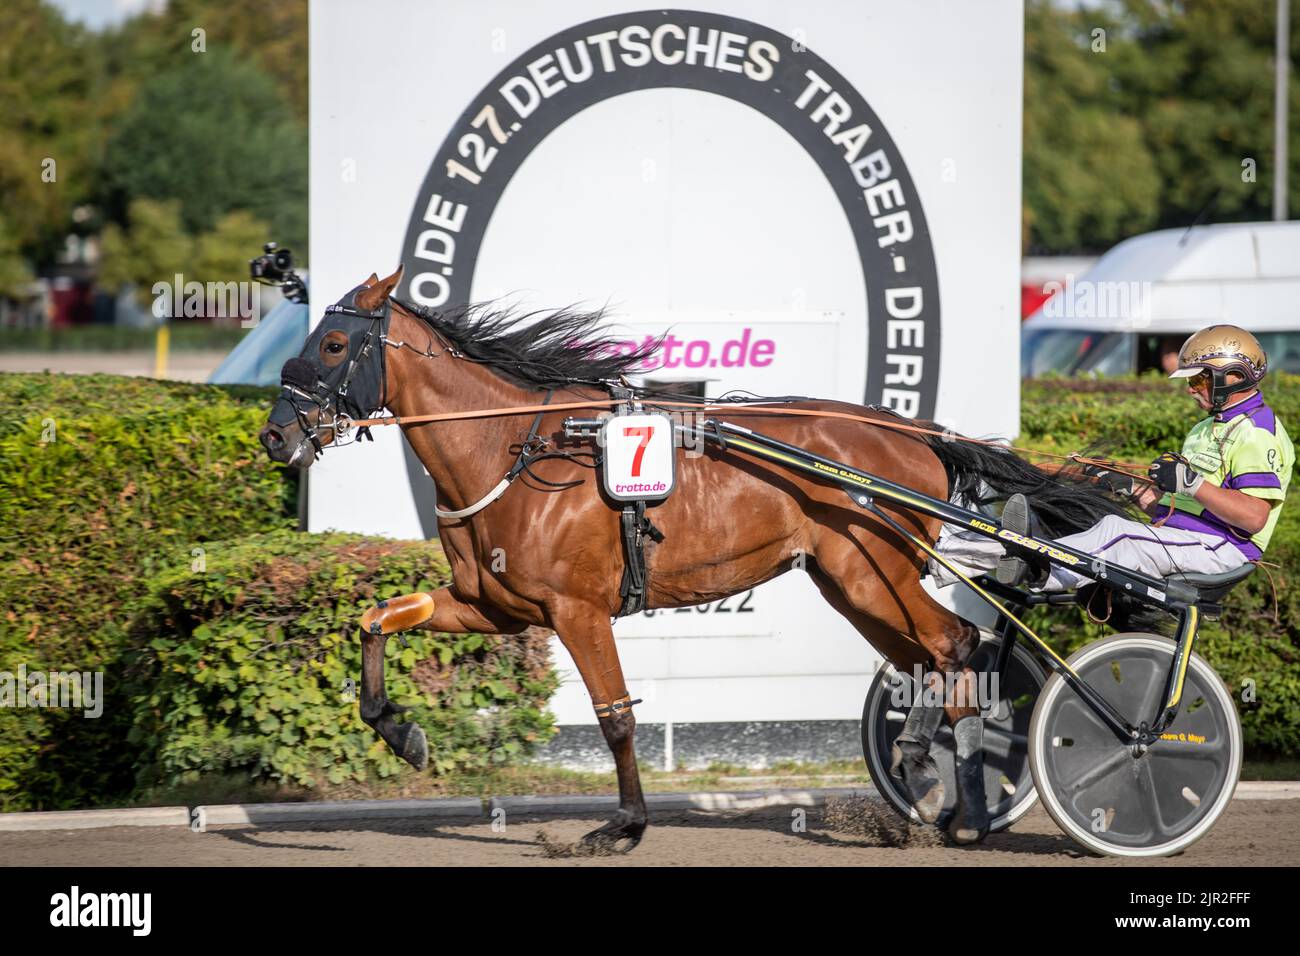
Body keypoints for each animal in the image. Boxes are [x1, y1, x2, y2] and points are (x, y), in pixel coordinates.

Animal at [259, 267, 1123, 849]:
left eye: (332, 342)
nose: (274, 434)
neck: (512, 450)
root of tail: (918, 433)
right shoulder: (491, 605)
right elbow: (376, 619)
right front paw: (402, 733)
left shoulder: (577, 611)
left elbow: (613, 716)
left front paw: (625, 825)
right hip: (854, 584)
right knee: (934, 656)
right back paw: (939, 792)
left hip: (873, 568)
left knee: (955, 643)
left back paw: (947, 787)